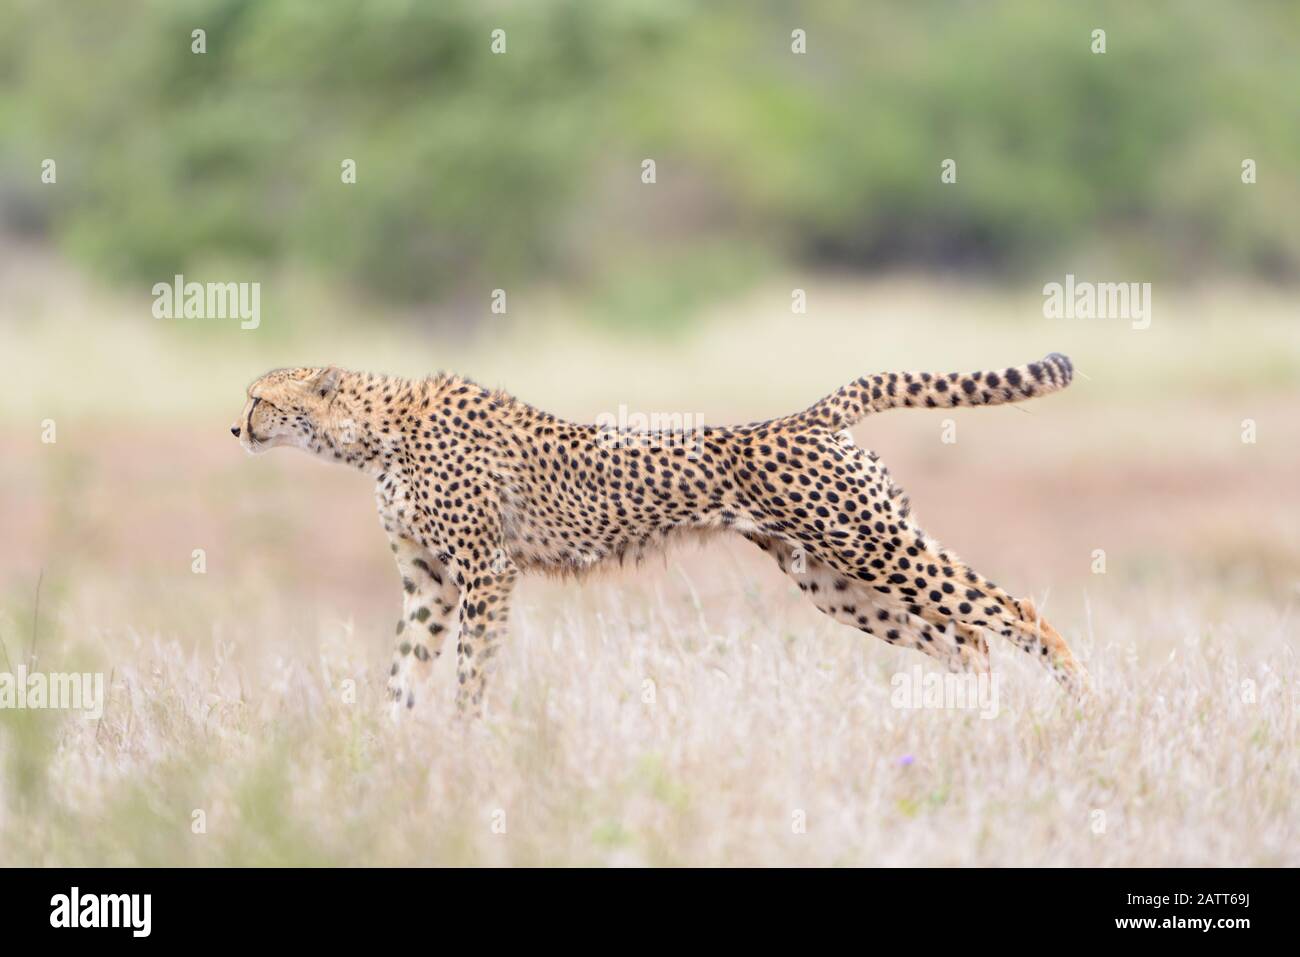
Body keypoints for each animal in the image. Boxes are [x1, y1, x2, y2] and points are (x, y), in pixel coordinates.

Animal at [231, 353, 1086, 717]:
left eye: (260, 397)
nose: (235, 428)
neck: (376, 431)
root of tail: (808, 414)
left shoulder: (484, 570)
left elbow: (472, 670)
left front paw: (464, 740)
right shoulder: (431, 581)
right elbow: (402, 671)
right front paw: (392, 750)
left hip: (871, 545)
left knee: (1012, 610)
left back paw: (1082, 704)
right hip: (832, 578)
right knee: (964, 639)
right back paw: (968, 728)